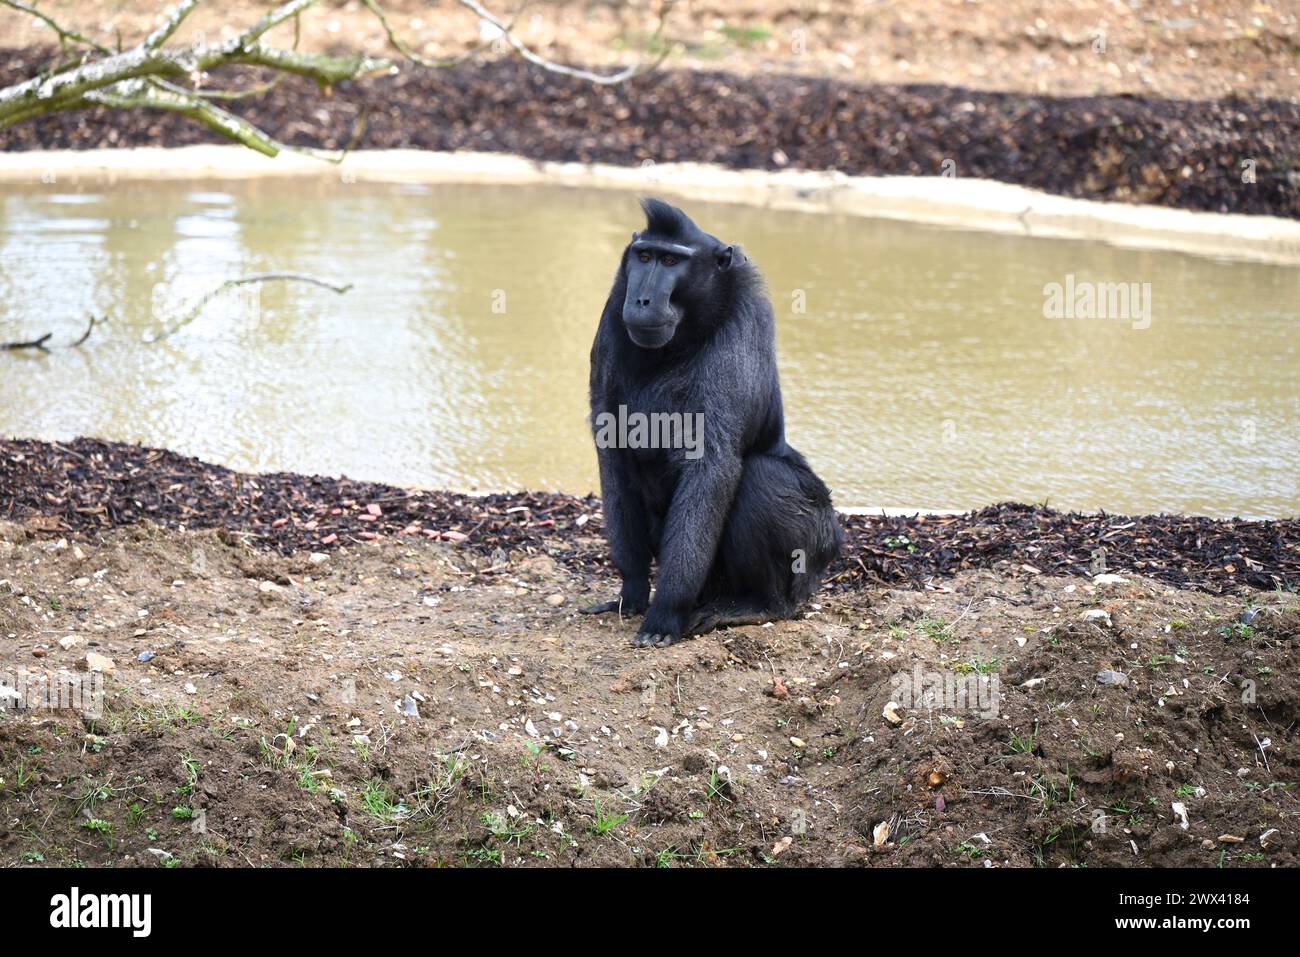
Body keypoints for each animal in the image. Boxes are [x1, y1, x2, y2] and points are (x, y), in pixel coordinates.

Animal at [582, 198, 842, 648]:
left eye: (671, 261)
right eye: (645, 257)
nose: (642, 300)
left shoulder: (741, 323)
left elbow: (713, 460)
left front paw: (665, 611)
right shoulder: (613, 312)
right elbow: (612, 448)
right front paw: (632, 589)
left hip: (812, 552)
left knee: (763, 474)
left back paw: (759, 606)